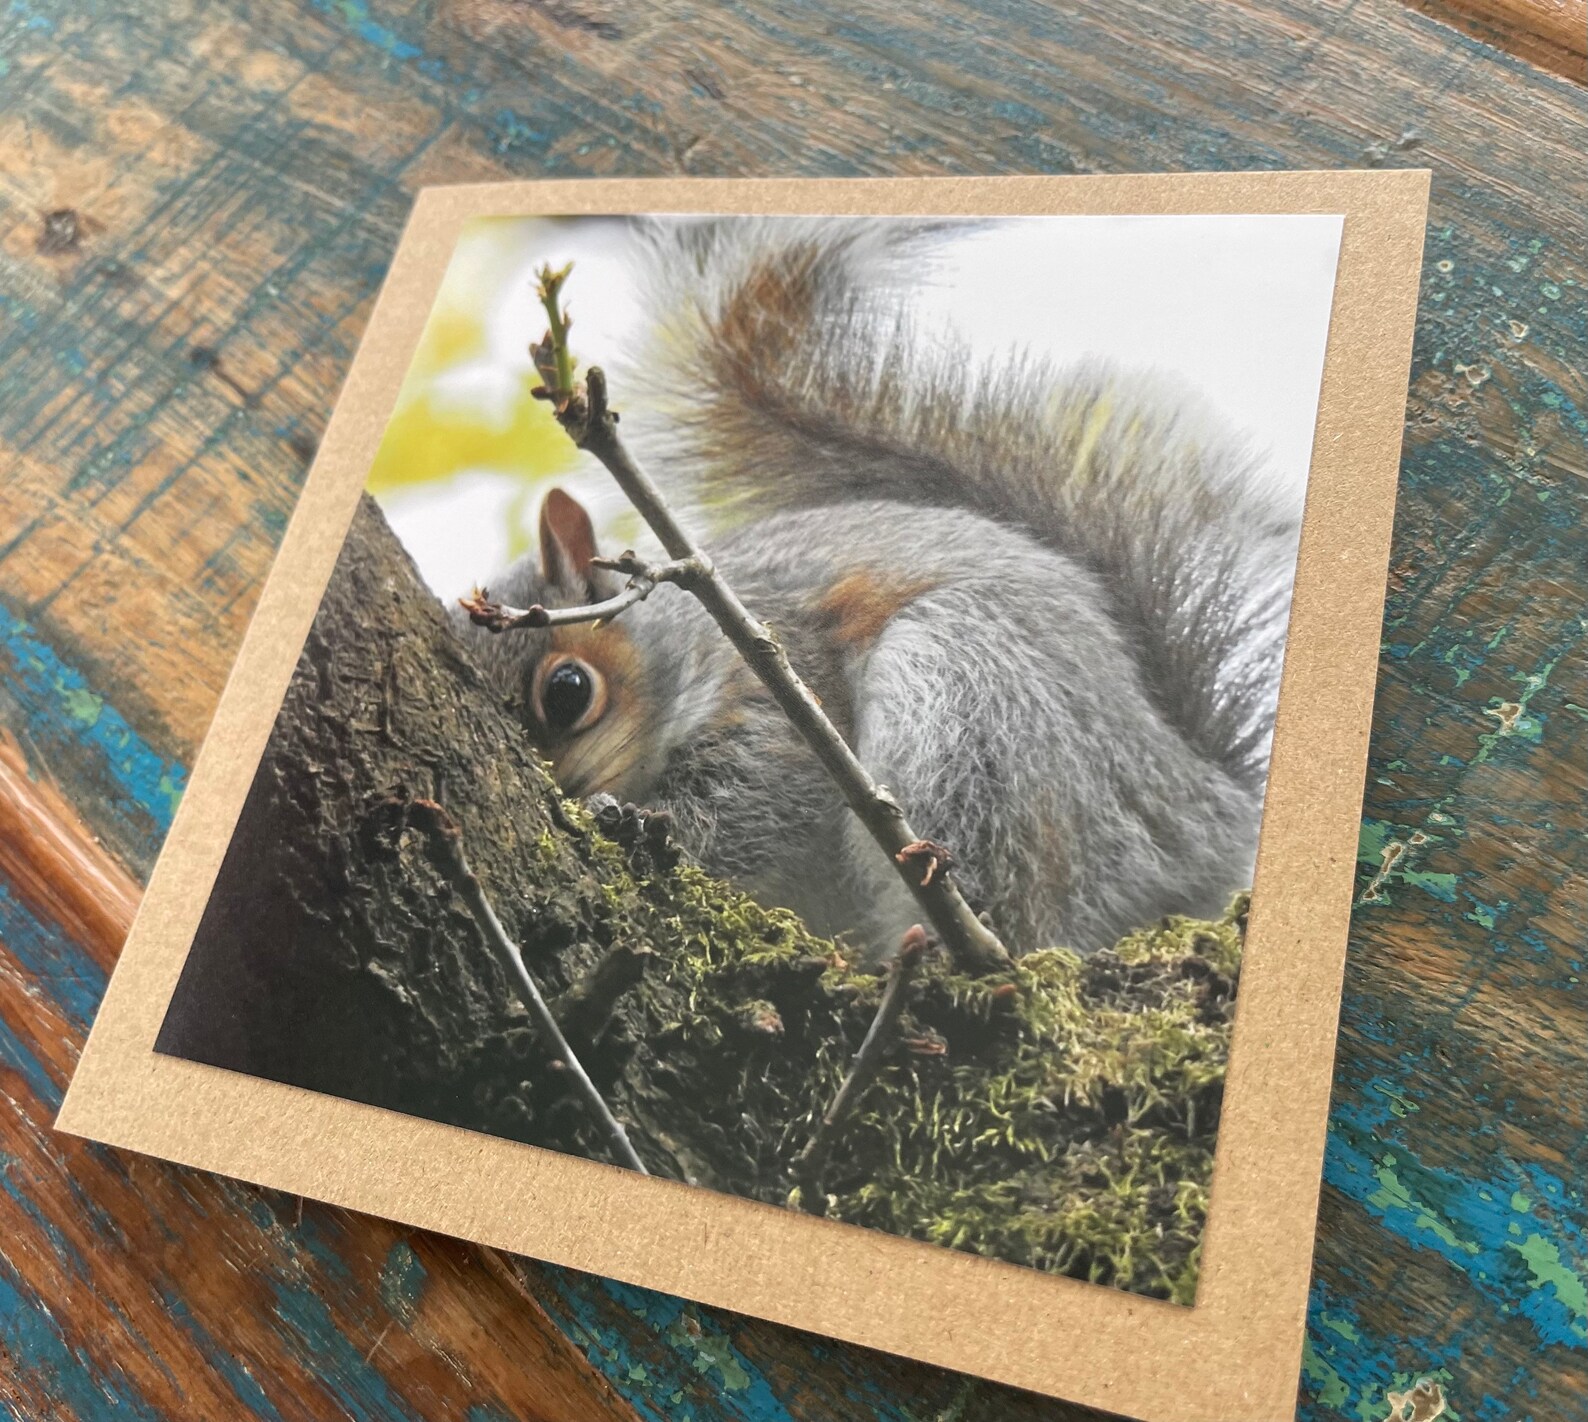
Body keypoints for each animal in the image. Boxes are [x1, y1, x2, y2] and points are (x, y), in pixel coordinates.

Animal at [454, 218, 1302, 960]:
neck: (689, 647)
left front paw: (636, 825)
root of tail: (1205, 820)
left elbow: (757, 811)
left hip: (974, 696)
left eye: (568, 692)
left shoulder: (779, 698)